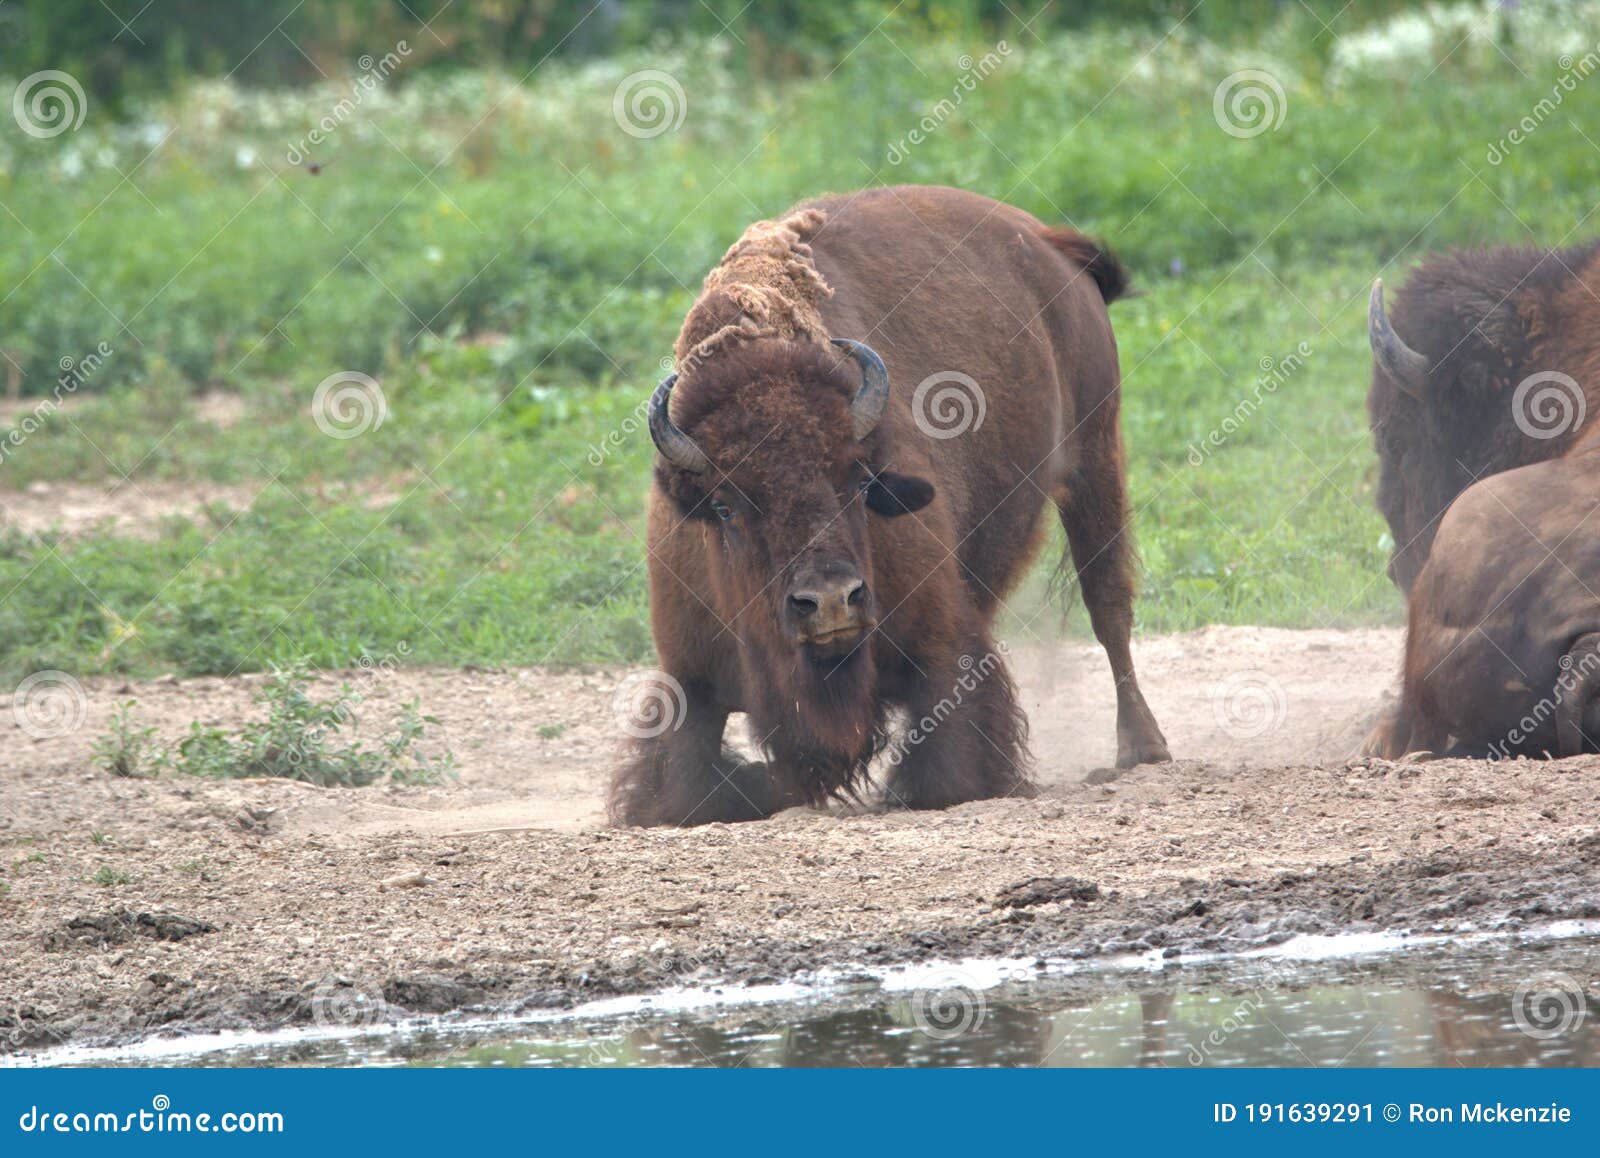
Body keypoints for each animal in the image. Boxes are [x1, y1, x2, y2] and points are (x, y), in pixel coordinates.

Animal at [609, 184, 1170, 827]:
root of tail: (1051, 244)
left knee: (1108, 607)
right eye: (725, 505)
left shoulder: (943, 645)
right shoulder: (689, 677)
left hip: (1096, 461)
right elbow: (685, 788)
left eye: (856, 479)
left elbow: (947, 768)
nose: (831, 601)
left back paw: (1141, 749)